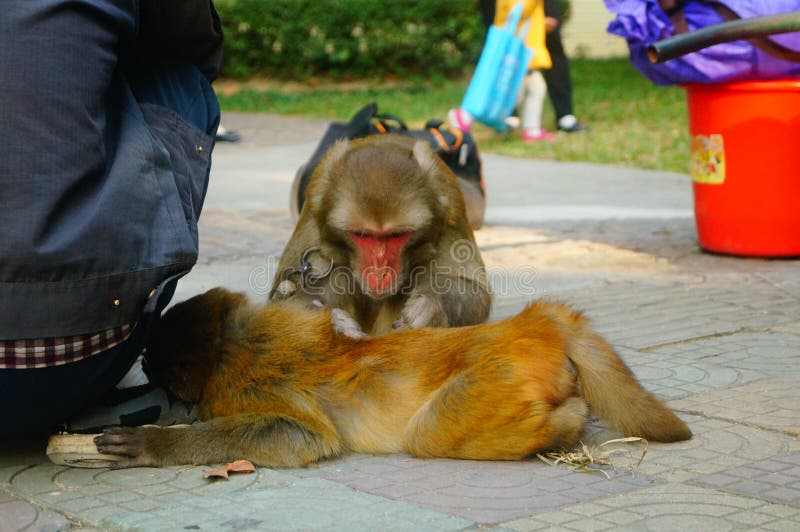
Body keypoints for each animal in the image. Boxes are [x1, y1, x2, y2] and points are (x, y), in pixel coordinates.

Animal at [94, 288, 692, 469]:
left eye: (159, 365)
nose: (146, 370)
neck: (229, 345)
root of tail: (536, 322)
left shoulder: (241, 388)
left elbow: (301, 437)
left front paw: (156, 443)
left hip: (497, 377)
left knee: (429, 434)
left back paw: (566, 424)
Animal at [269, 134, 492, 336]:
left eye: (396, 235)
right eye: (361, 234)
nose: (379, 272)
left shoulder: (450, 210)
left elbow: (477, 291)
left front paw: (431, 306)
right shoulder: (314, 213)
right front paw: (331, 322)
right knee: (339, 275)